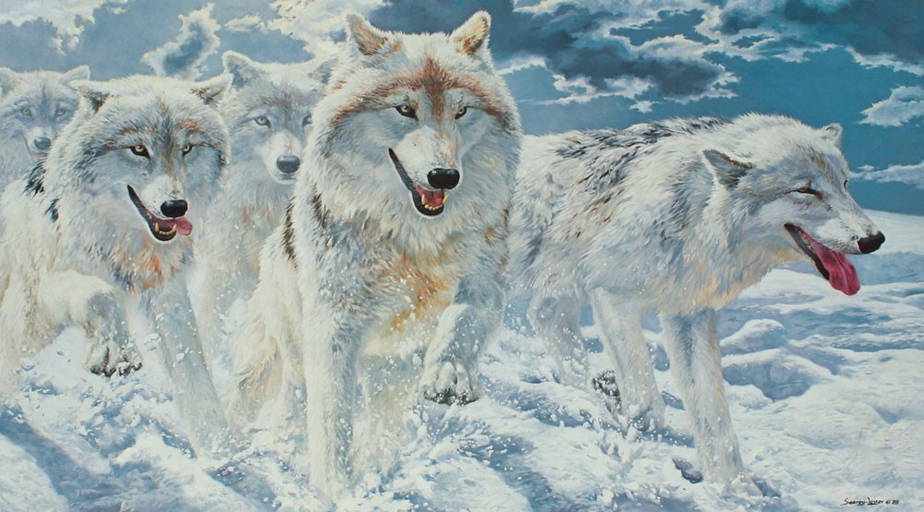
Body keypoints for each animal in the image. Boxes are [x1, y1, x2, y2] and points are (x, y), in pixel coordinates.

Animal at [0, 75, 233, 456]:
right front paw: (115, 353)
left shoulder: (167, 295)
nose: (175, 206)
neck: (120, 245)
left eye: (187, 148)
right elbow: (100, 295)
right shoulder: (36, 299)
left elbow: (194, 375)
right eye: (138, 149)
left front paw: (222, 452)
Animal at [227, 12, 522, 499]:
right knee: (291, 398)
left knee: (382, 426)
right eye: (404, 110)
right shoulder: (333, 328)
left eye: (461, 112)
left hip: (392, 368)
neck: (410, 240)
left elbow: (464, 317)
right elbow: (332, 421)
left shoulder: (486, 282)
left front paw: (449, 376)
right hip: (290, 342)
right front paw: (334, 490)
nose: (444, 176)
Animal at [508, 114, 885, 494]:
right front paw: (639, 431)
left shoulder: (688, 311)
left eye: (845, 184)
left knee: (546, 321)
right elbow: (647, 400)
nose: (874, 240)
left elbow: (712, 410)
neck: (697, 215)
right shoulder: (612, 298)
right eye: (805, 190)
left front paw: (735, 487)